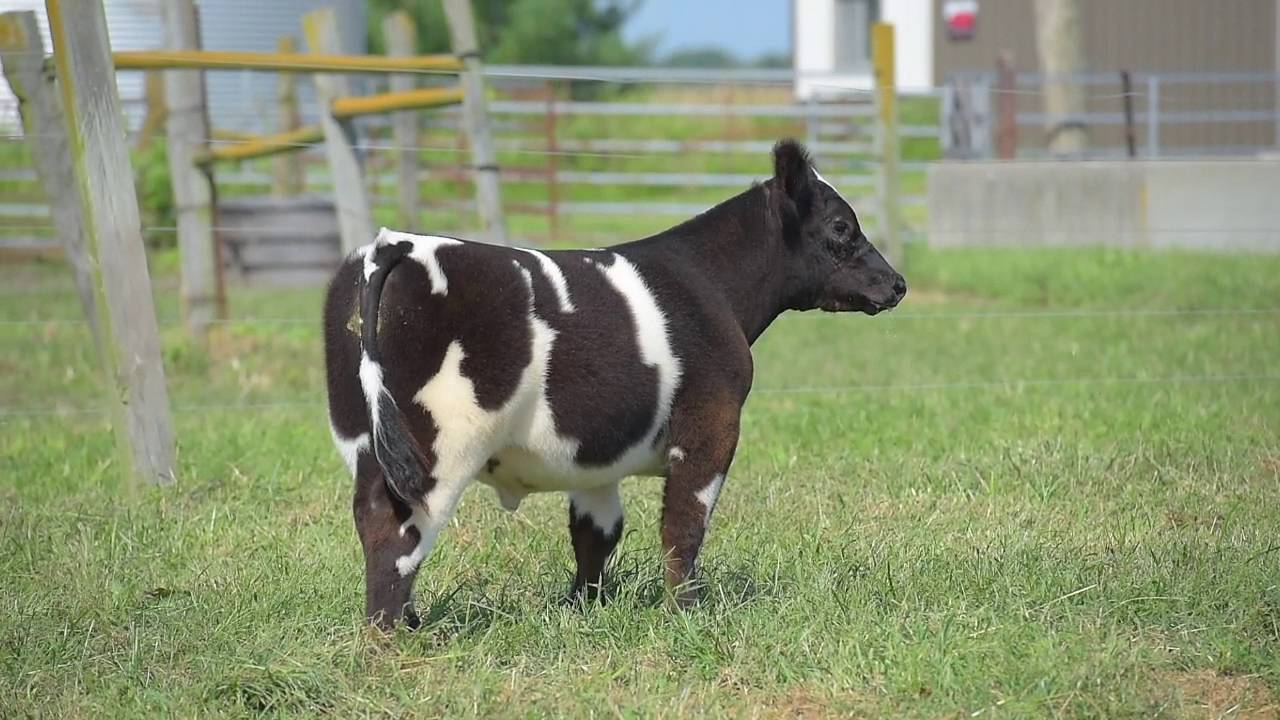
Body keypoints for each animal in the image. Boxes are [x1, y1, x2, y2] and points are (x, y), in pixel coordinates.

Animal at [324, 139, 906, 628]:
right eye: (840, 226)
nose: (898, 283)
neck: (708, 284)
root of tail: (394, 244)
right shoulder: (711, 426)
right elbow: (683, 524)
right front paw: (686, 612)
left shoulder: (593, 456)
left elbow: (596, 533)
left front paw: (582, 609)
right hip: (439, 445)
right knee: (396, 529)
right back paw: (391, 634)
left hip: (365, 440)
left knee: (369, 513)